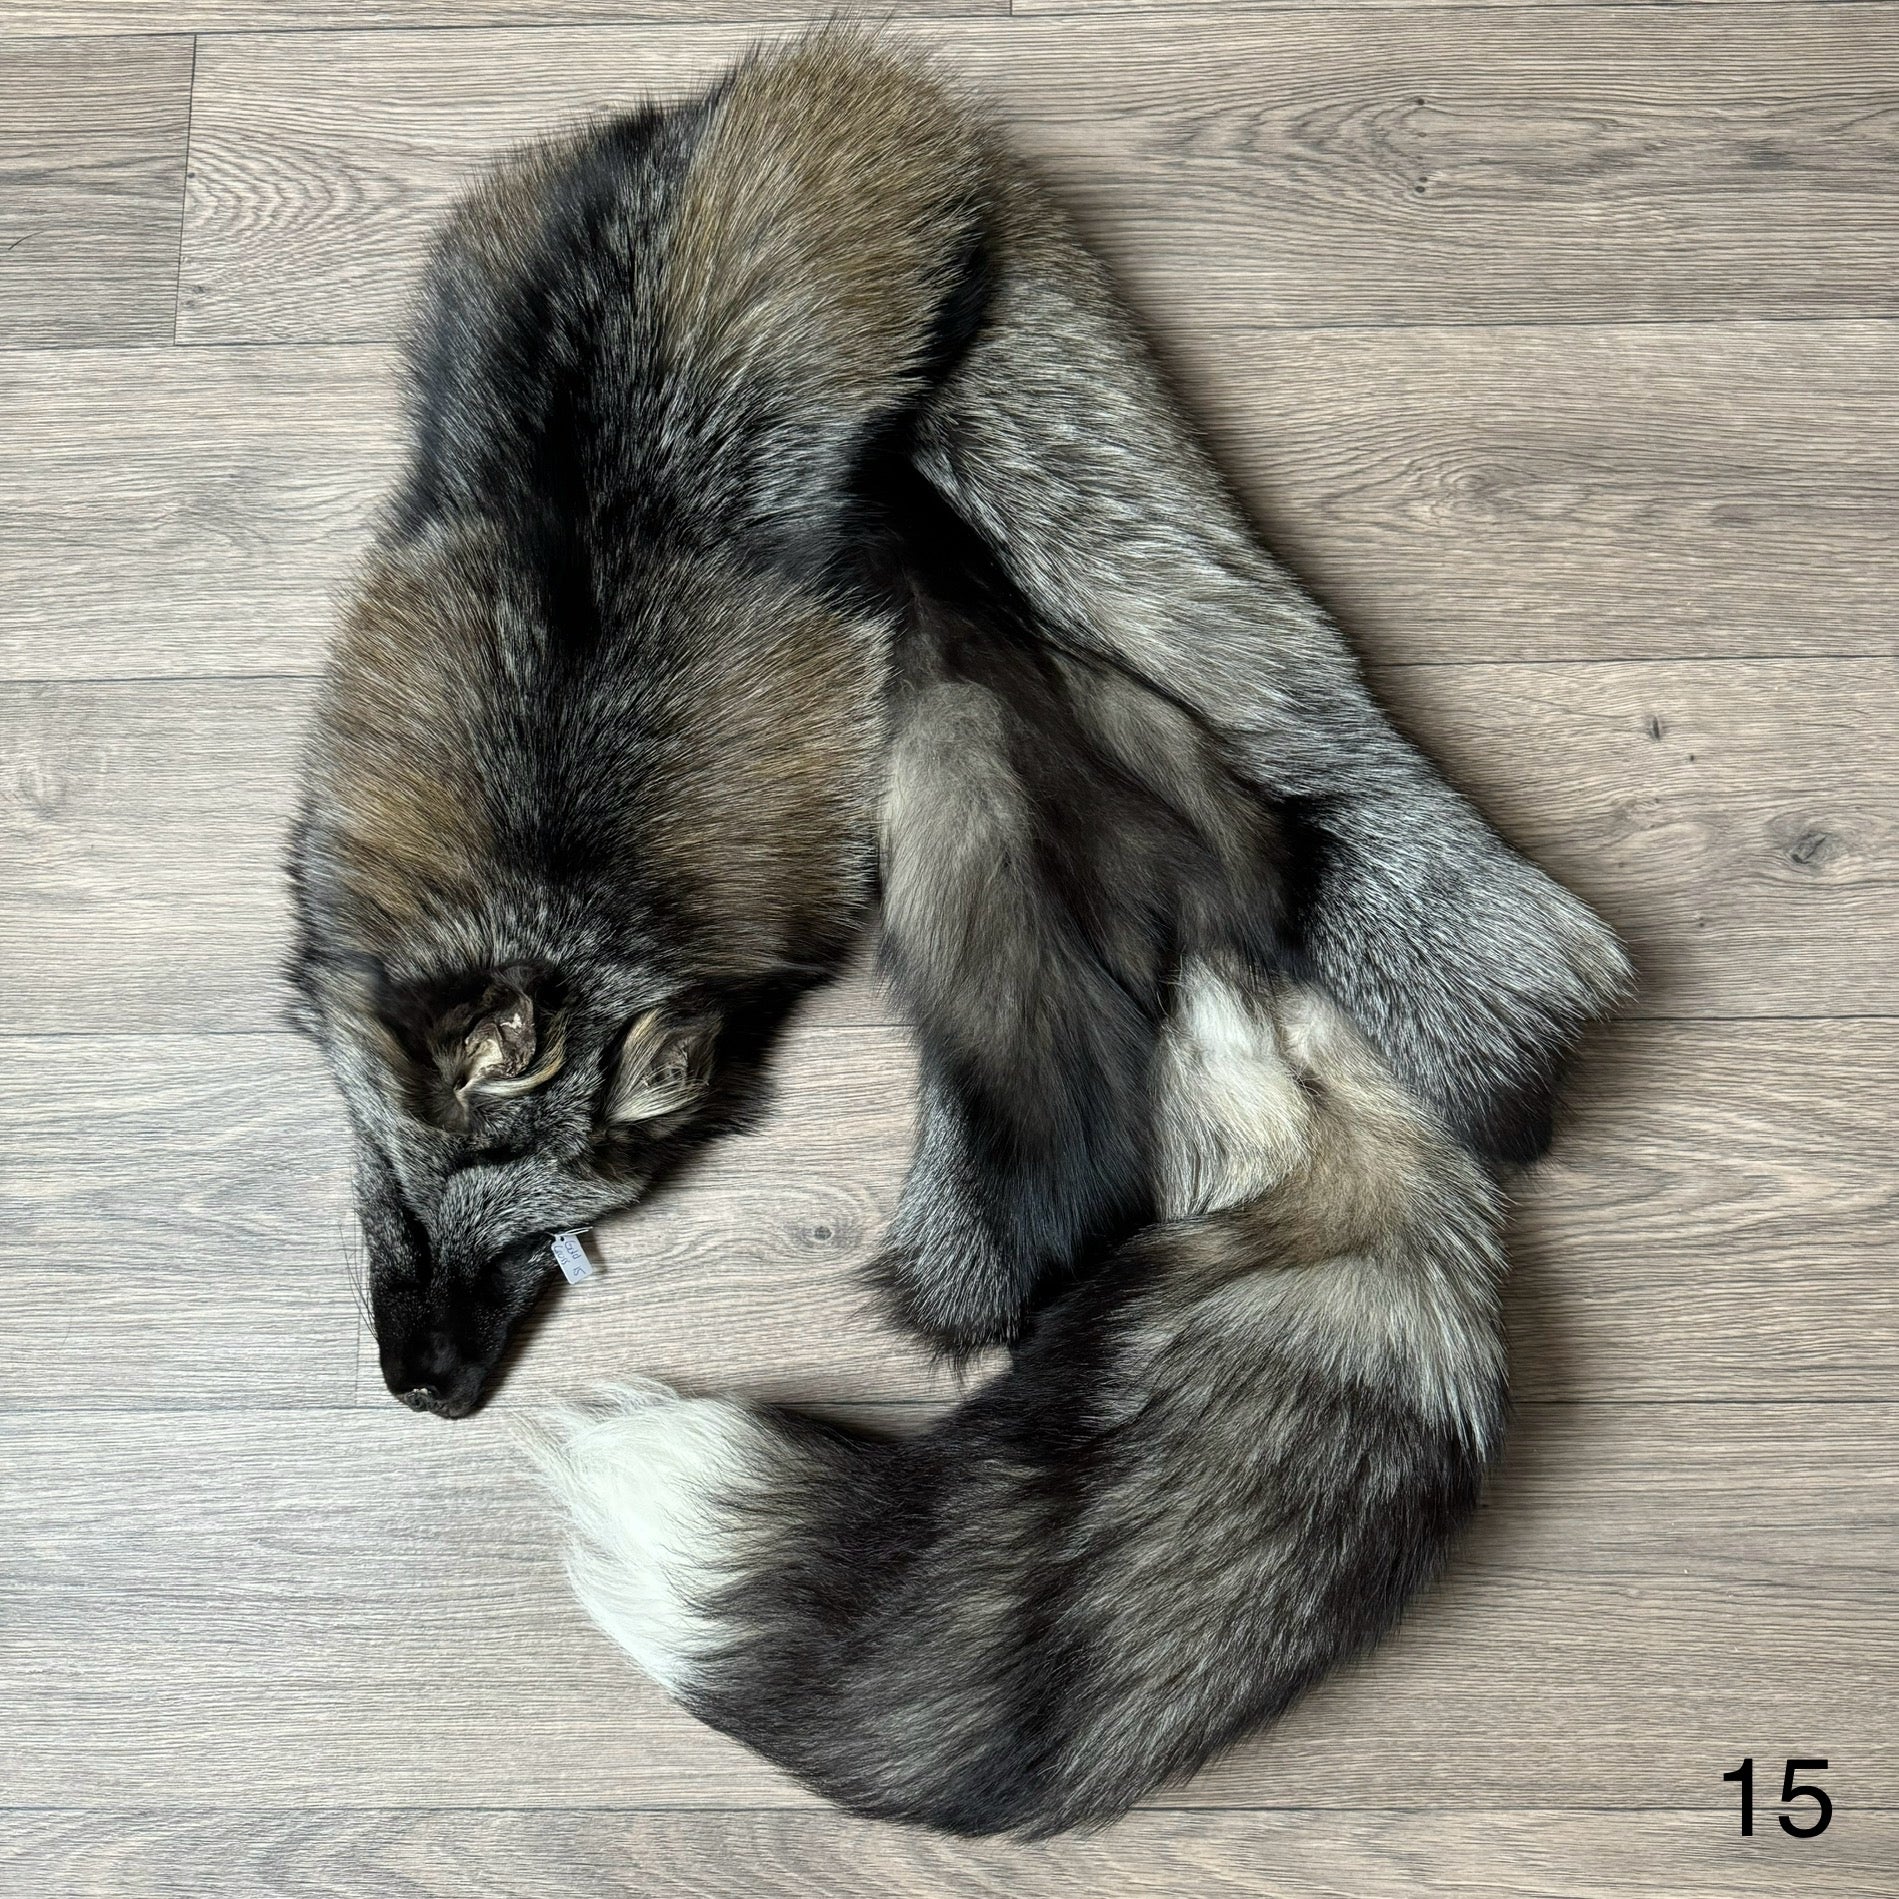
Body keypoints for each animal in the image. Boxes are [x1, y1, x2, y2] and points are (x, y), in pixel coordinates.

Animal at [290, 30, 1628, 1833]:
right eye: (398, 1187)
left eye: (547, 1233)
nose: (419, 1390)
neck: (552, 837)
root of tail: (757, 80)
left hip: (1098, 527)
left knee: (1300, 727)